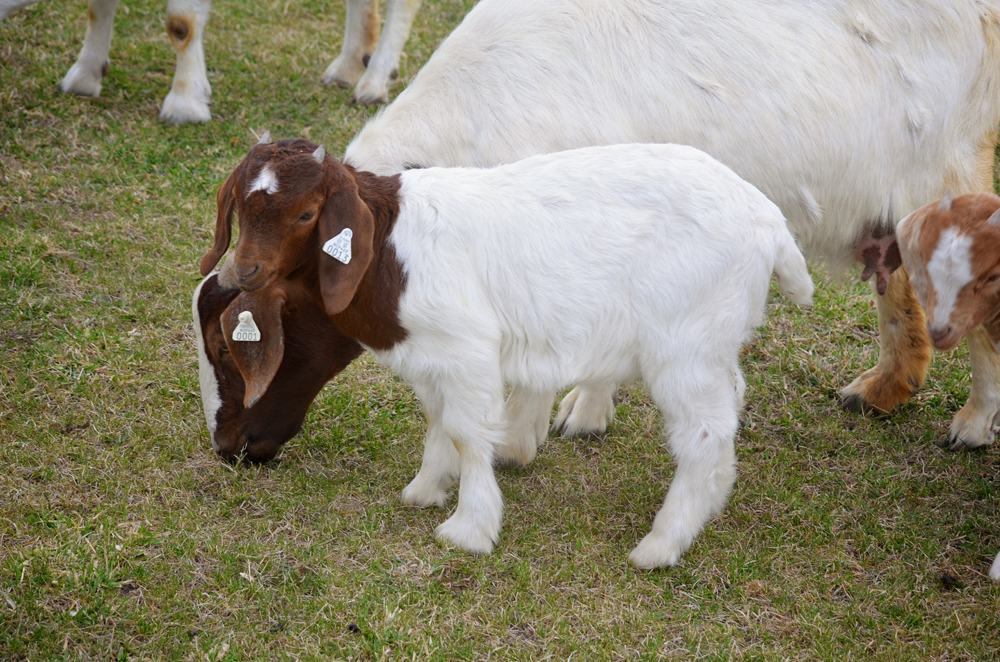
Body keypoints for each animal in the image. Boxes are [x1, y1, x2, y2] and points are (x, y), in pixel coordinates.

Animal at [0, 0, 421, 124]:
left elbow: (182, 21)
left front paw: (185, 102)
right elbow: (97, 5)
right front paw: (86, 74)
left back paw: (375, 79)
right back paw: (349, 65)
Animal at [197, 136, 814, 567]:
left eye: (307, 214)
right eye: (241, 211)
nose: (244, 270)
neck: (388, 252)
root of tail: (771, 226)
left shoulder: (469, 349)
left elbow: (470, 433)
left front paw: (469, 528)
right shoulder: (433, 356)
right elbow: (441, 422)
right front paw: (426, 489)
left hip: (683, 346)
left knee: (703, 434)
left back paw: (660, 545)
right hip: (714, 341)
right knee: (727, 410)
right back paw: (707, 508)